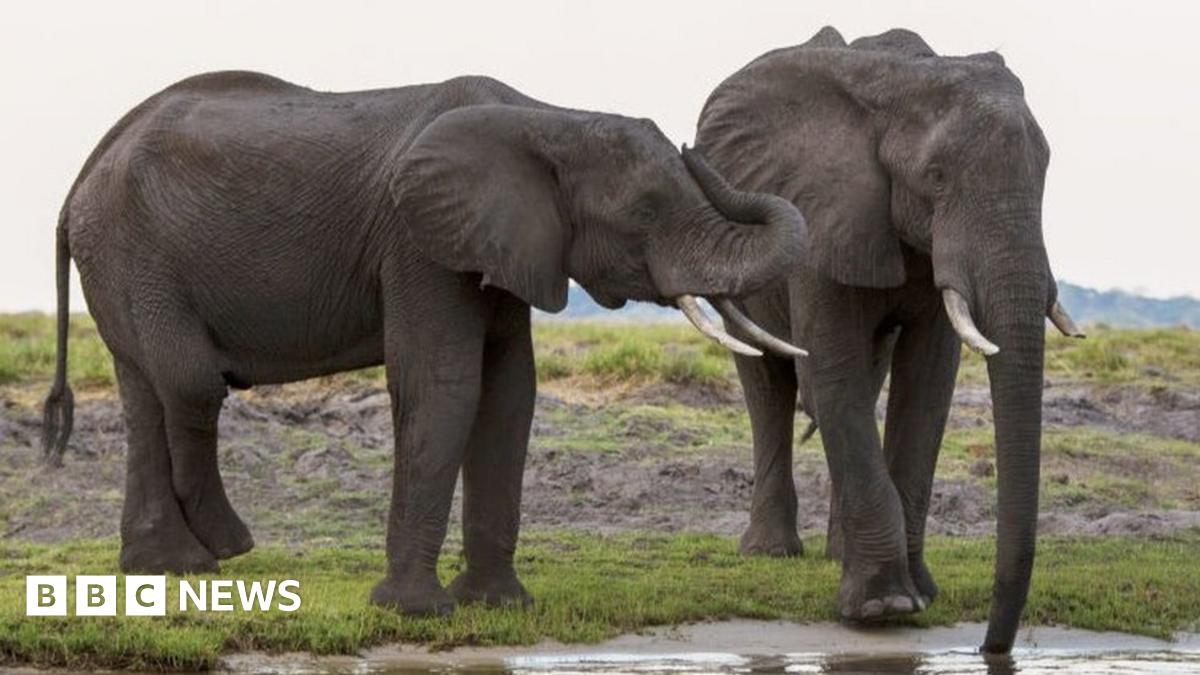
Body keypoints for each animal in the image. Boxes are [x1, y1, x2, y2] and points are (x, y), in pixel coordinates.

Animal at [41, 71, 808, 615]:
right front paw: (414, 611)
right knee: (189, 383)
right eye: (644, 212)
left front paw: (499, 605)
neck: (547, 117)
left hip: (121, 258)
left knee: (145, 394)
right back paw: (224, 548)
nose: (692, 145)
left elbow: (509, 394)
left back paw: (168, 567)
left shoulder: (499, 245)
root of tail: (82, 177)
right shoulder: (417, 243)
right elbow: (443, 384)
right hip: (135, 254)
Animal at [694, 28, 1084, 653]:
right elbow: (833, 369)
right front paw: (884, 607)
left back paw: (836, 554)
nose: (989, 648)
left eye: (1045, 169)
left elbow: (927, 383)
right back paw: (771, 552)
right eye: (937, 177)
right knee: (769, 383)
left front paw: (918, 593)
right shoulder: (823, 209)